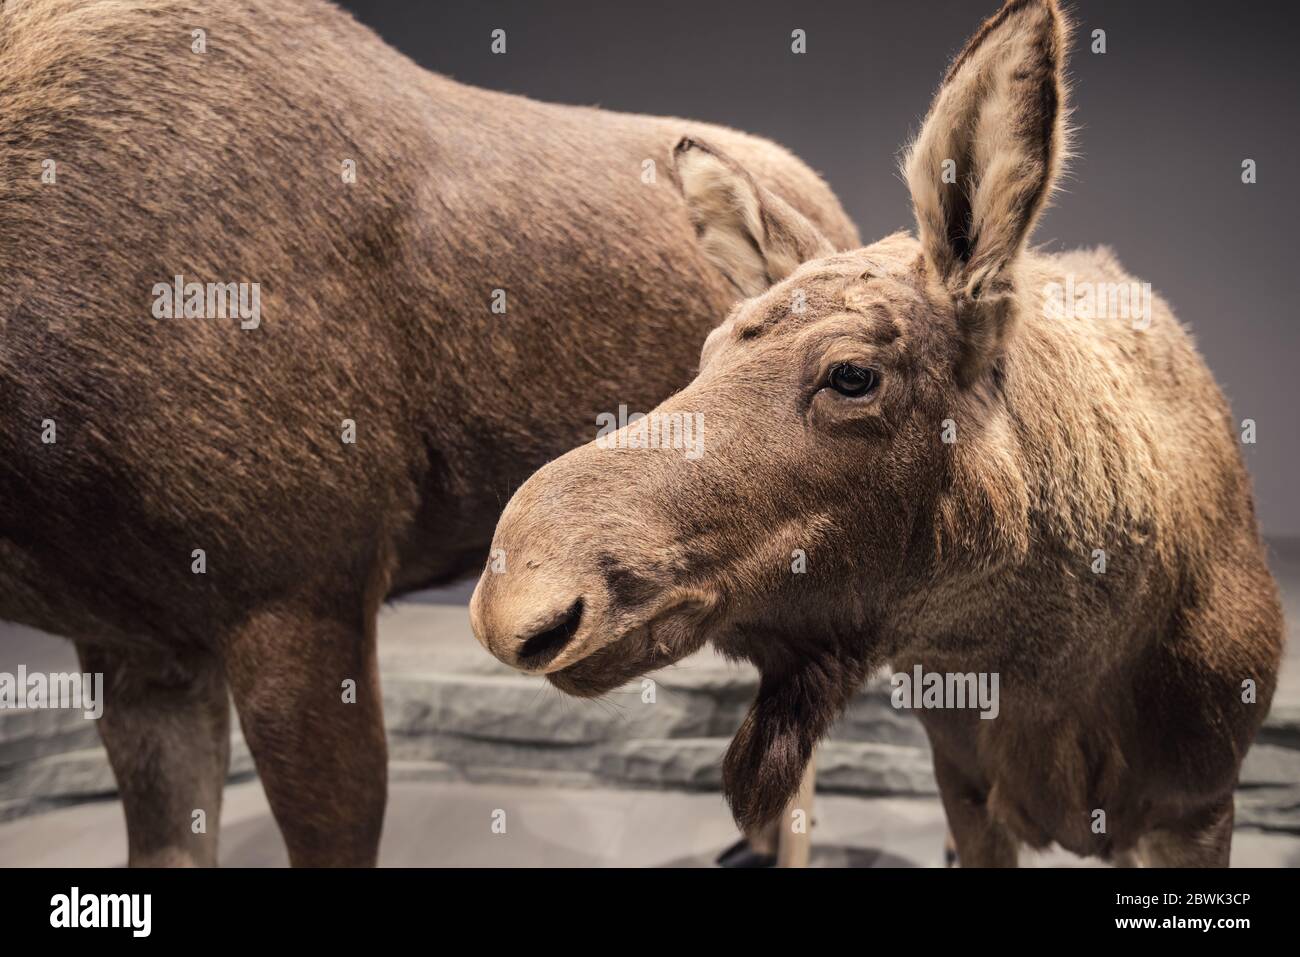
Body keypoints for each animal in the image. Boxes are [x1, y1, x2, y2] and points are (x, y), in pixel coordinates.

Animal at [470, 0, 1284, 867]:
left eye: (853, 374)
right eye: (709, 349)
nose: (516, 596)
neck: (1054, 665)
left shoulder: (1197, 807)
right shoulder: (965, 786)